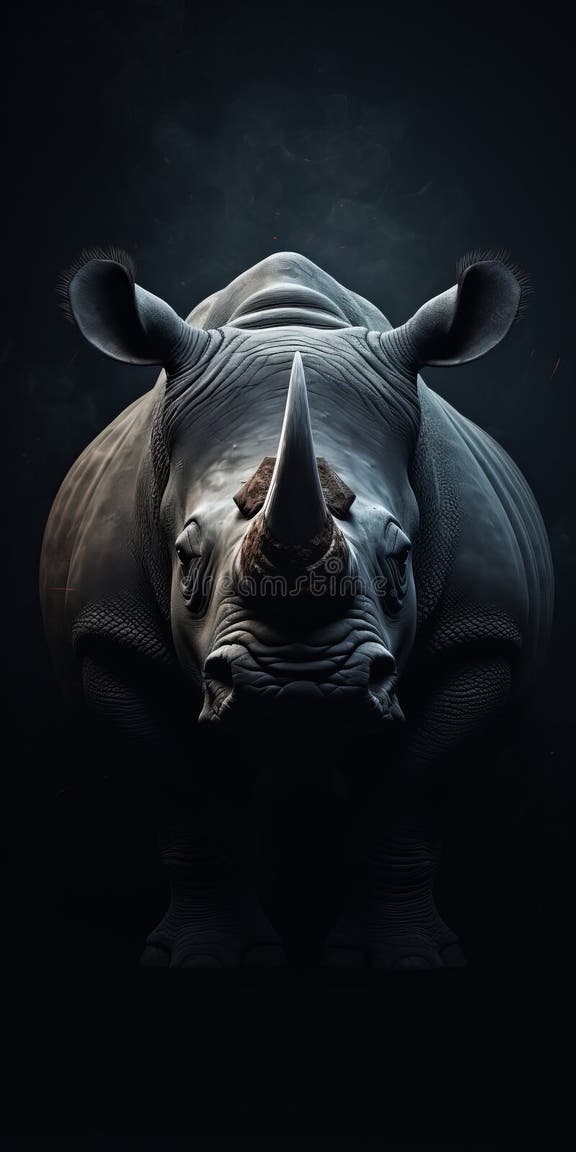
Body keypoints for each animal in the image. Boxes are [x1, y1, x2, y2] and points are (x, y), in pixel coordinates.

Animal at [40, 247, 553, 968]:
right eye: (184, 559)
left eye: (401, 556)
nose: (301, 687)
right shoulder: (111, 646)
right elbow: (187, 800)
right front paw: (208, 958)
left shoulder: (482, 641)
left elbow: (407, 798)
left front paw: (403, 959)